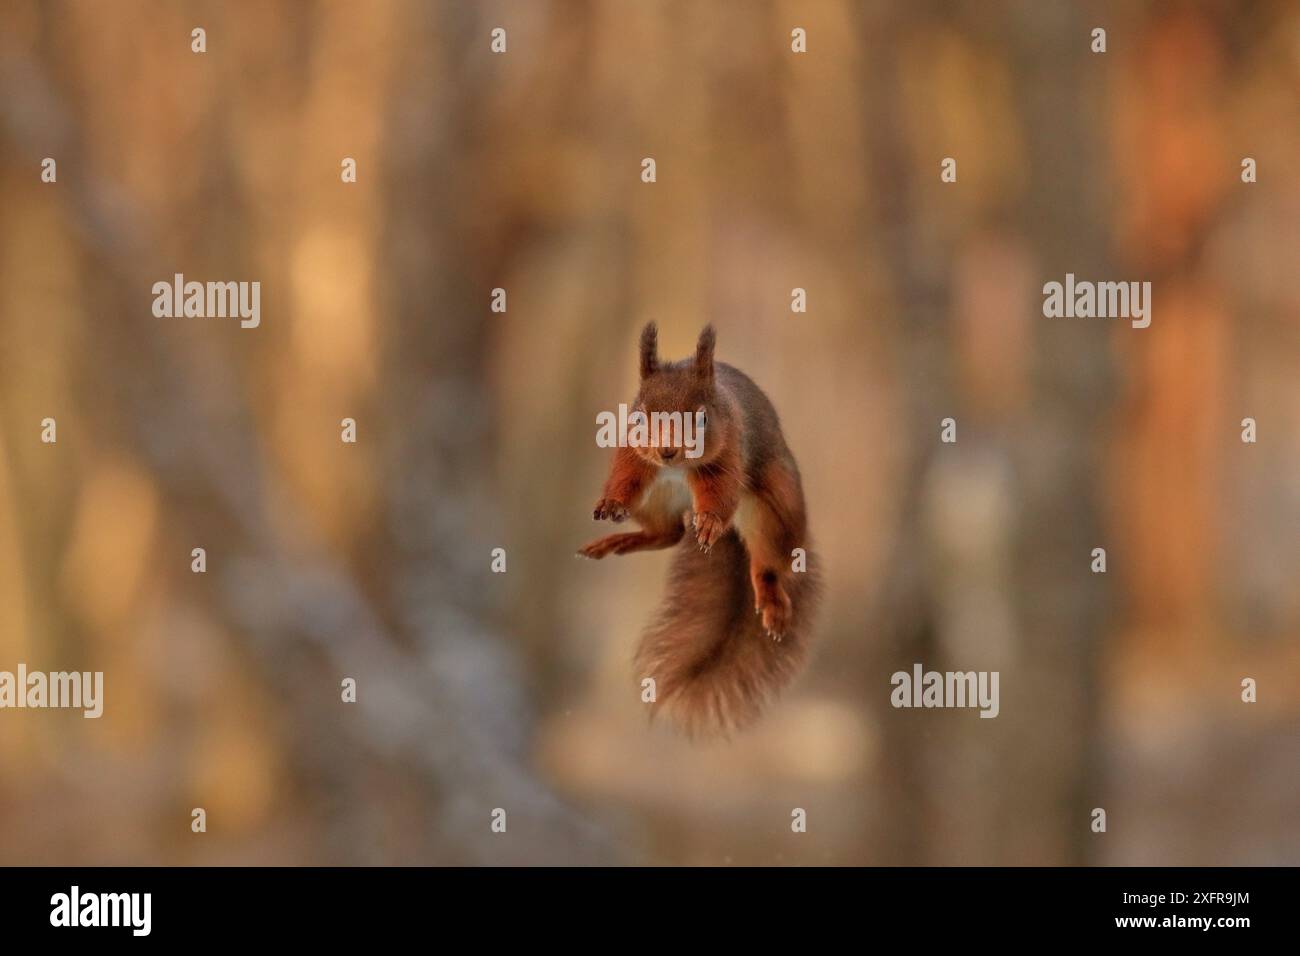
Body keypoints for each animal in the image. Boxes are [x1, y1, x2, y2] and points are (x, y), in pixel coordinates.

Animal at [579, 322, 820, 736]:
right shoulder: (630, 452)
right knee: (668, 533)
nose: (667, 452)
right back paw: (617, 541)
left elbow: (719, 492)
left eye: (702, 419)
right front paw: (610, 503)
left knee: (768, 564)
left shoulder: (727, 456)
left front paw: (709, 522)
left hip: (771, 512)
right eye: (639, 419)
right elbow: (625, 476)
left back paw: (771, 597)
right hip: (654, 500)